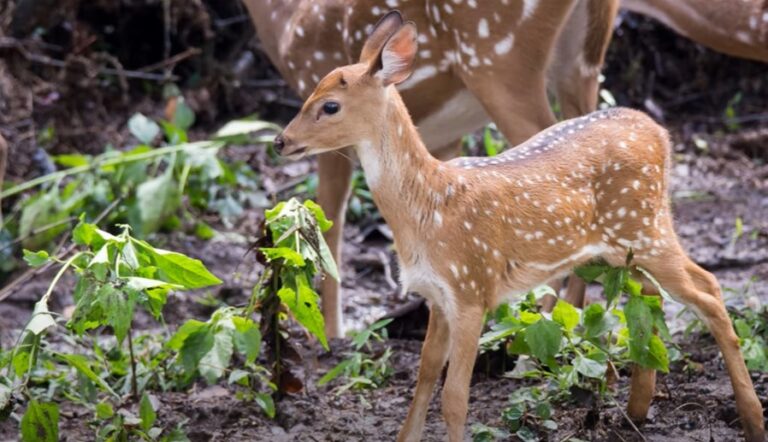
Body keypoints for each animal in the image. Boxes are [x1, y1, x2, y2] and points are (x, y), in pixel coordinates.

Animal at [243, 0, 621, 338]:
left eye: (330, 106)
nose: (280, 141)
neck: (286, 21)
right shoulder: (447, 142)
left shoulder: (333, 140)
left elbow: (330, 221)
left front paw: (333, 333)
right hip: (581, 63)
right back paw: (574, 318)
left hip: (500, 64)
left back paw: (543, 319)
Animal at [273, 11, 766, 442]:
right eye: (310, 93)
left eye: (330, 105)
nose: (280, 141)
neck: (427, 208)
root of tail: (660, 131)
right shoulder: (437, 297)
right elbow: (424, 380)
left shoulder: (471, 288)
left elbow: (455, 397)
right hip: (626, 244)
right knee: (653, 294)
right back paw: (637, 411)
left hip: (646, 228)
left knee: (709, 290)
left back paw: (752, 421)